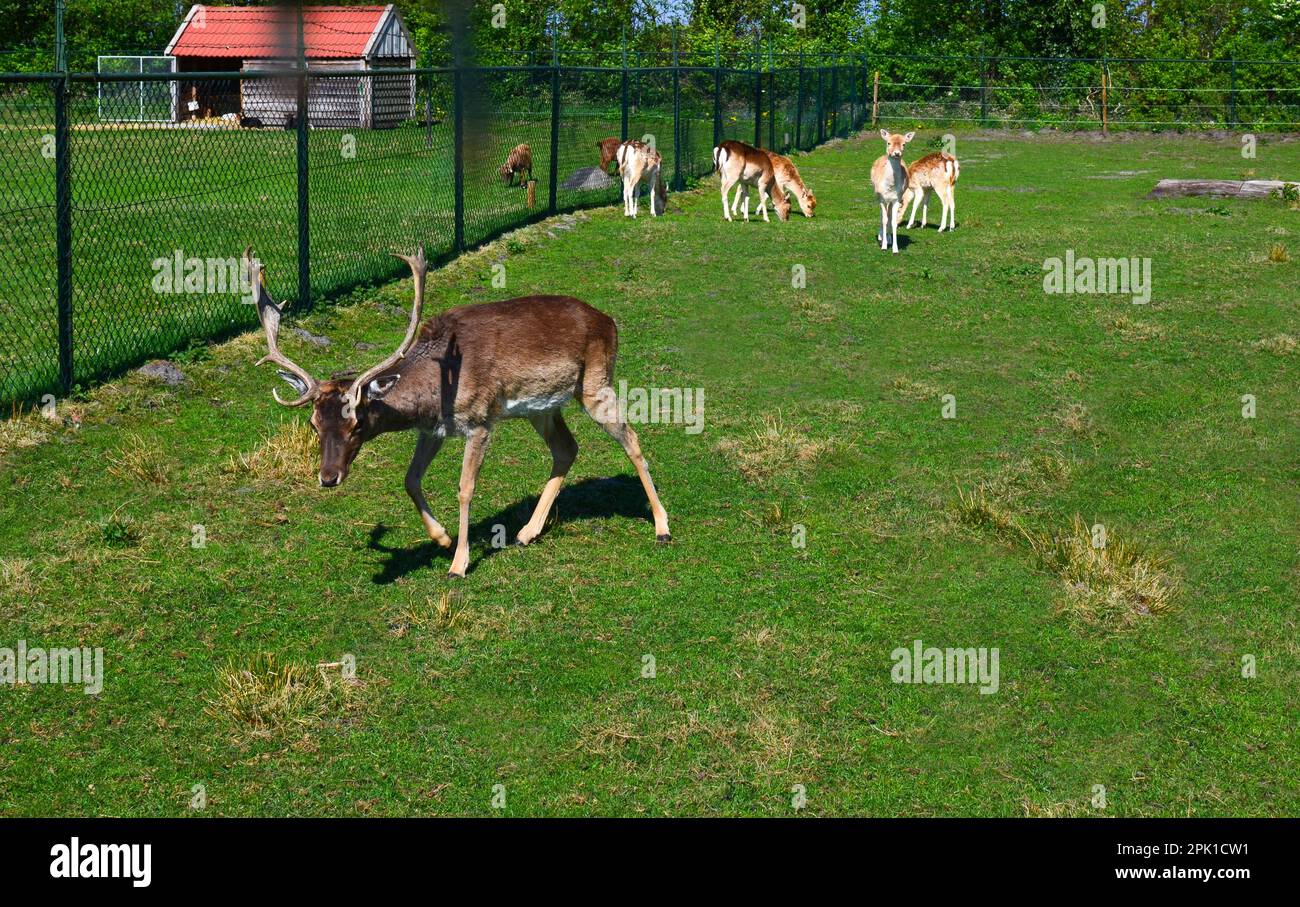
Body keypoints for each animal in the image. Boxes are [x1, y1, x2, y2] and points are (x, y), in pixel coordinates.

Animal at [243, 247, 671, 579]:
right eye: (314, 424)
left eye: (356, 423)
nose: (328, 477)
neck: (437, 389)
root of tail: (609, 321)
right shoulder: (432, 429)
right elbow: (410, 479)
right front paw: (443, 537)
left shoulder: (480, 421)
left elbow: (465, 488)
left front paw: (459, 563)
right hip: (543, 407)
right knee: (567, 448)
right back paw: (526, 532)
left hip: (596, 384)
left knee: (632, 440)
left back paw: (662, 526)